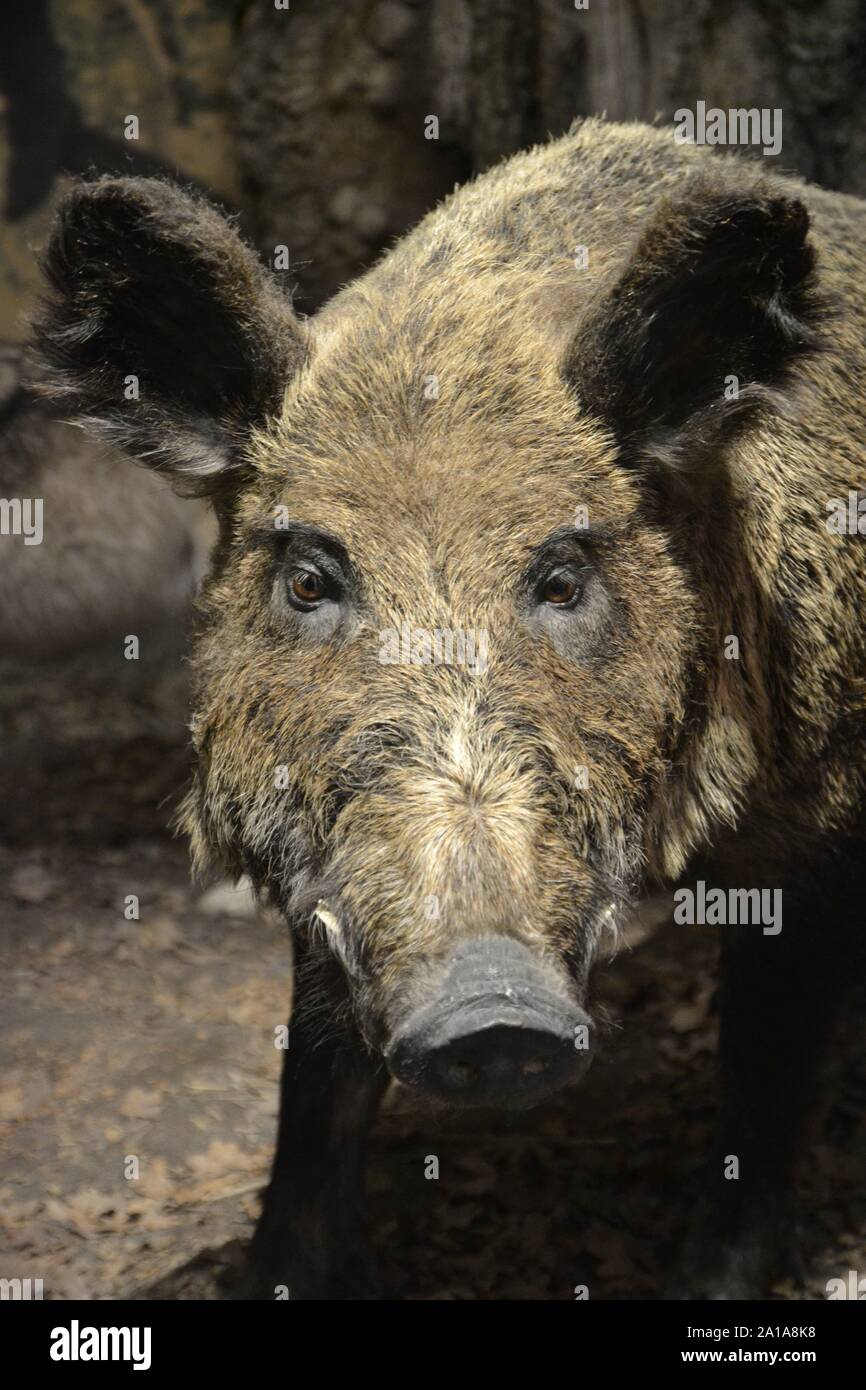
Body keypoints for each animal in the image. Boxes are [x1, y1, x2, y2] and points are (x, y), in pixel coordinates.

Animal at [31, 117, 866, 1299]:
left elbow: (765, 1081)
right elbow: (313, 1095)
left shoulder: (817, 819)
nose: (489, 1004)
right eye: (308, 579)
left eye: (561, 578)